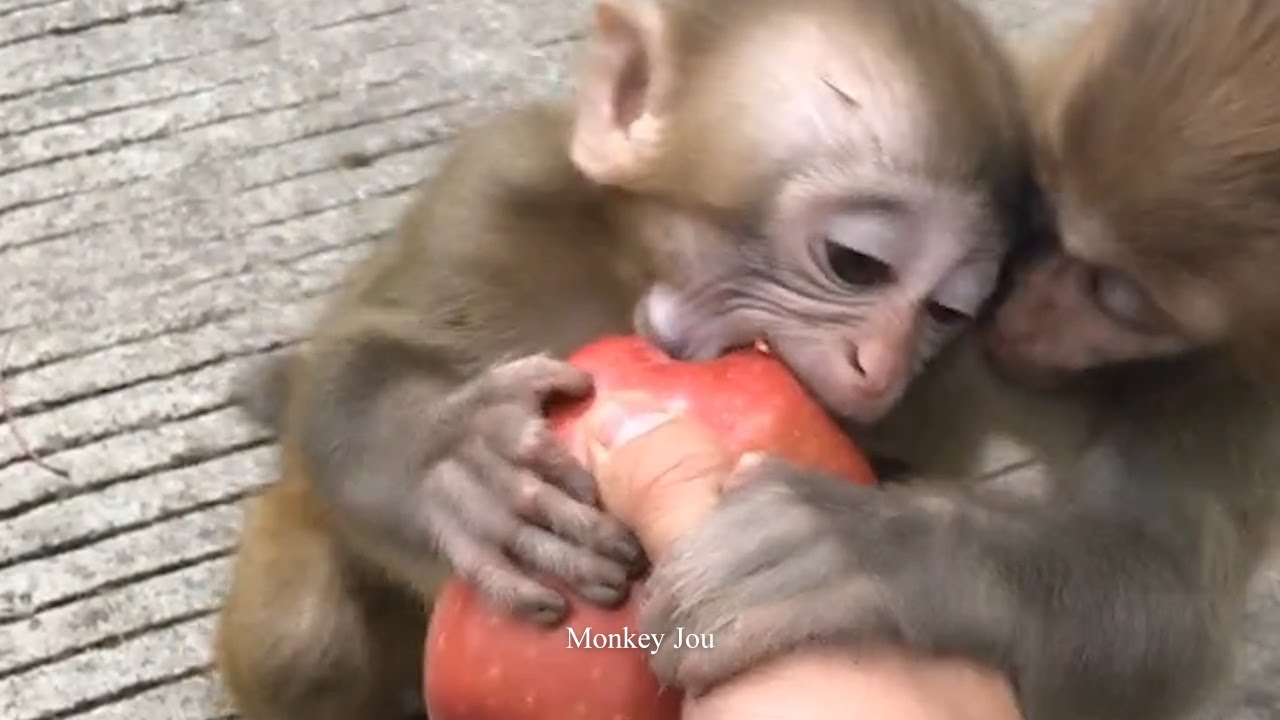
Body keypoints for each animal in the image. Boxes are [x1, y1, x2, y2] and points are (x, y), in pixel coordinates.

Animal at [213, 0, 1033, 717]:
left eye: (945, 312)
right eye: (856, 262)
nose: (880, 363)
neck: (631, 277)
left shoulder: (950, 383)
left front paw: (858, 552)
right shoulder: (492, 185)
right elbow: (352, 359)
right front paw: (456, 457)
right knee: (303, 640)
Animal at [628, 1, 1280, 719]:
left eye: (1118, 297)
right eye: (1044, 210)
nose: (1018, 312)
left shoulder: (1242, 392)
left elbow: (1173, 596)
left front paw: (876, 549)